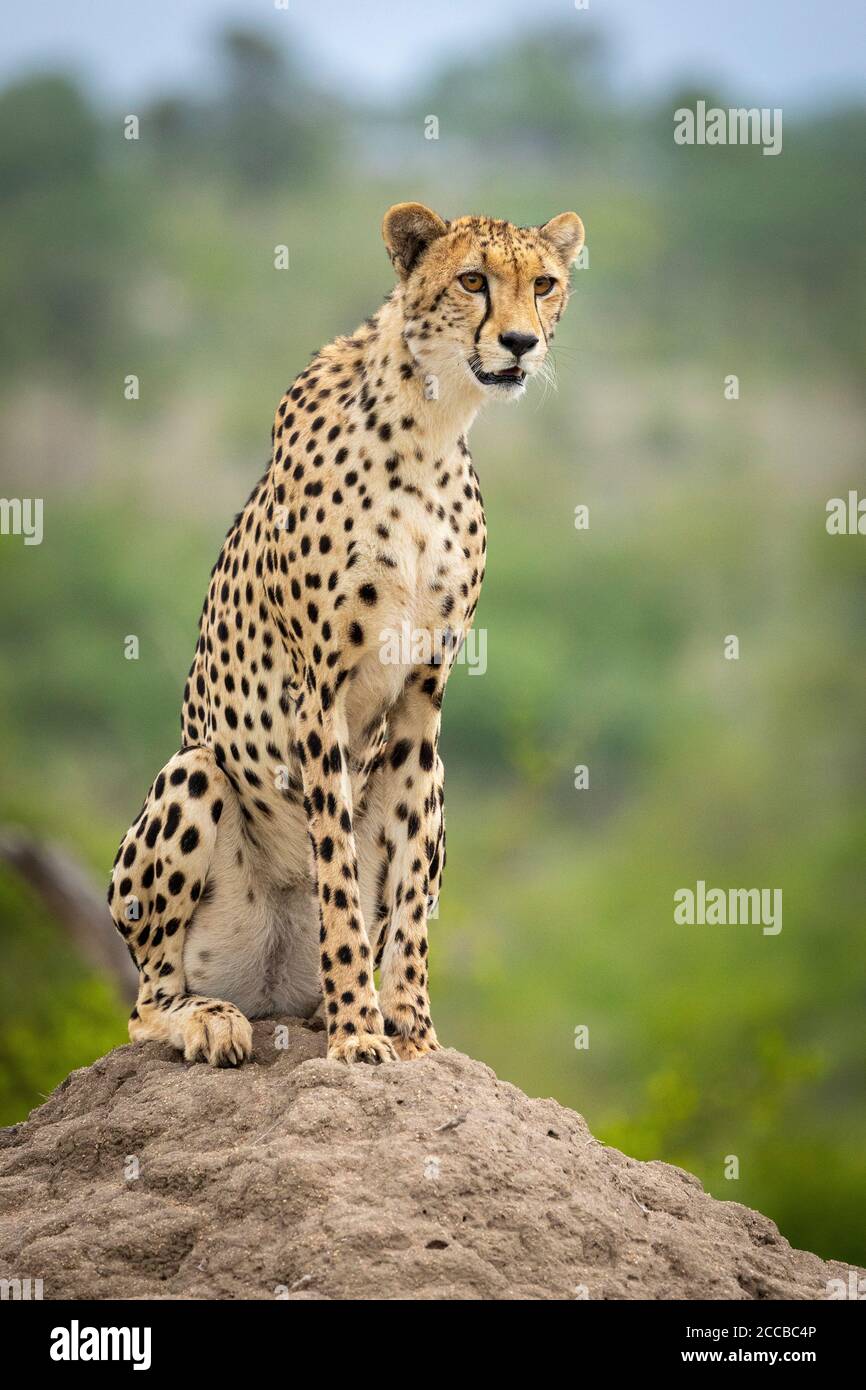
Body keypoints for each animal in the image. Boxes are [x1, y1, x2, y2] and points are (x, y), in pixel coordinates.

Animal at [108, 202, 585, 1066]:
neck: (432, 424)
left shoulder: (424, 696)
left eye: (543, 284)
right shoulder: (319, 692)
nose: (520, 343)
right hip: (193, 774)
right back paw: (211, 1020)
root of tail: (273, 993)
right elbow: (334, 870)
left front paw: (413, 1031)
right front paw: (361, 1030)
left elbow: (405, 889)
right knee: (148, 999)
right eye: (473, 280)